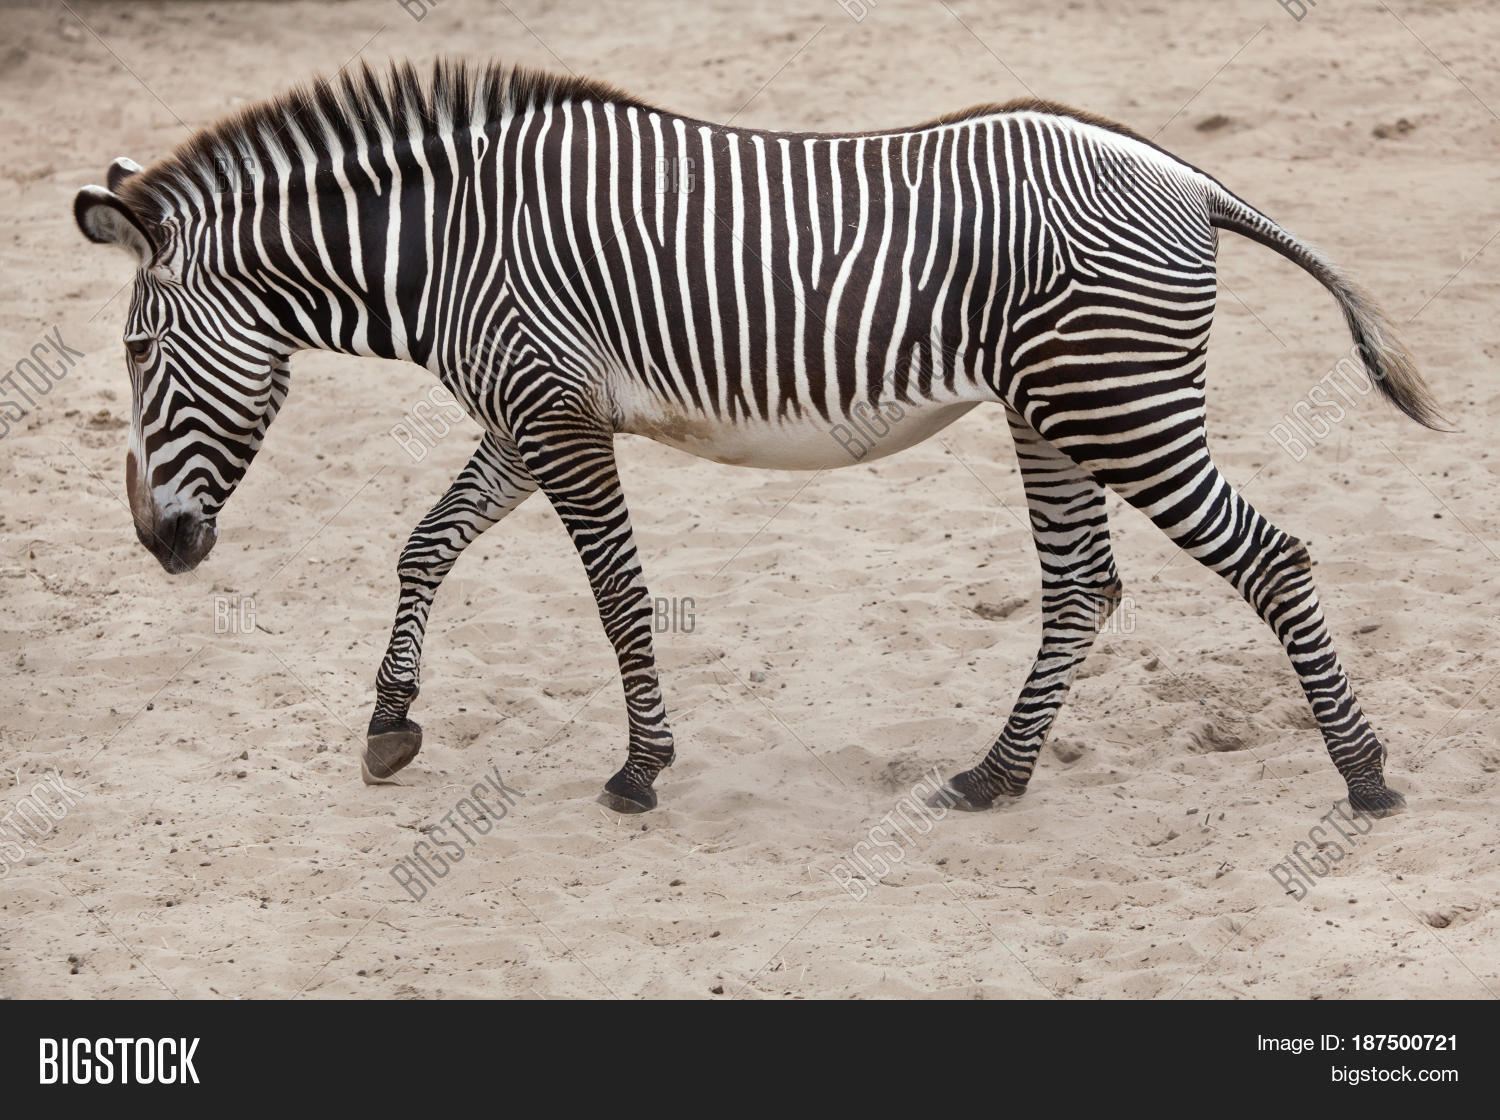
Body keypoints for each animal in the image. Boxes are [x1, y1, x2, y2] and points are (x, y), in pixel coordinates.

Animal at [73, 61, 1442, 817]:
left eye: (136, 351)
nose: (155, 545)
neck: (446, 245)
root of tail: (1186, 177)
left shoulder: (555, 415)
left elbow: (617, 595)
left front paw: (641, 768)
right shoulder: (526, 412)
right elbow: (424, 545)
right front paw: (390, 721)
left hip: (1120, 404)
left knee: (1269, 557)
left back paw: (1365, 775)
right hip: (1055, 410)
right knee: (1081, 588)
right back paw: (995, 777)